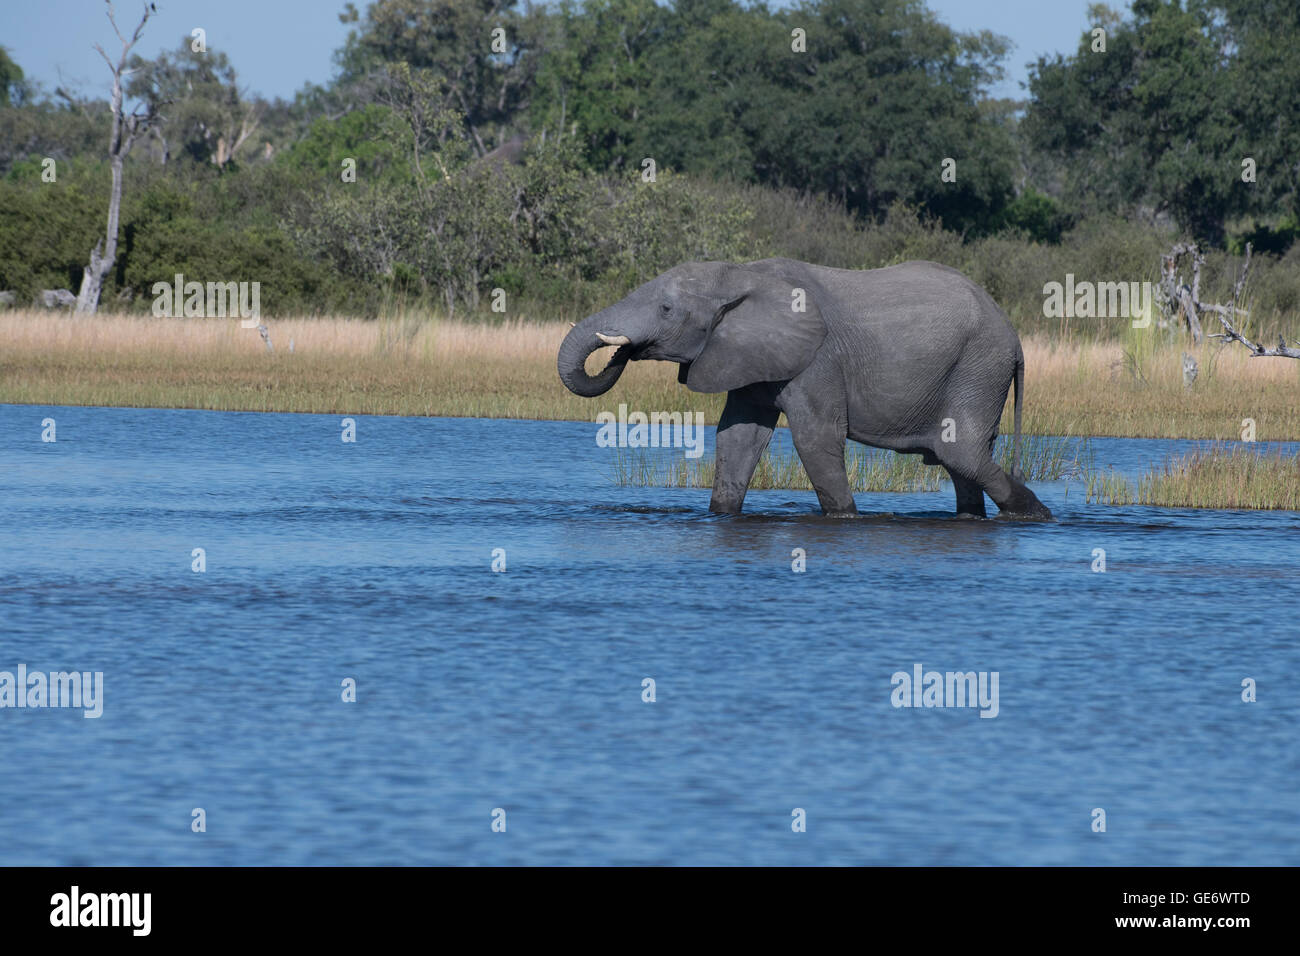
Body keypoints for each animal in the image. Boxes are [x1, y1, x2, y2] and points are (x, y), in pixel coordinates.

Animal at [557, 257, 1051, 520]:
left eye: (665, 309)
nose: (622, 351)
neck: (743, 274)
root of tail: (1014, 337)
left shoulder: (818, 361)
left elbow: (815, 438)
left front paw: (846, 519)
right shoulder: (750, 356)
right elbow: (738, 436)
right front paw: (722, 516)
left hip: (977, 367)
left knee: (960, 452)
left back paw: (1037, 517)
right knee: (961, 461)